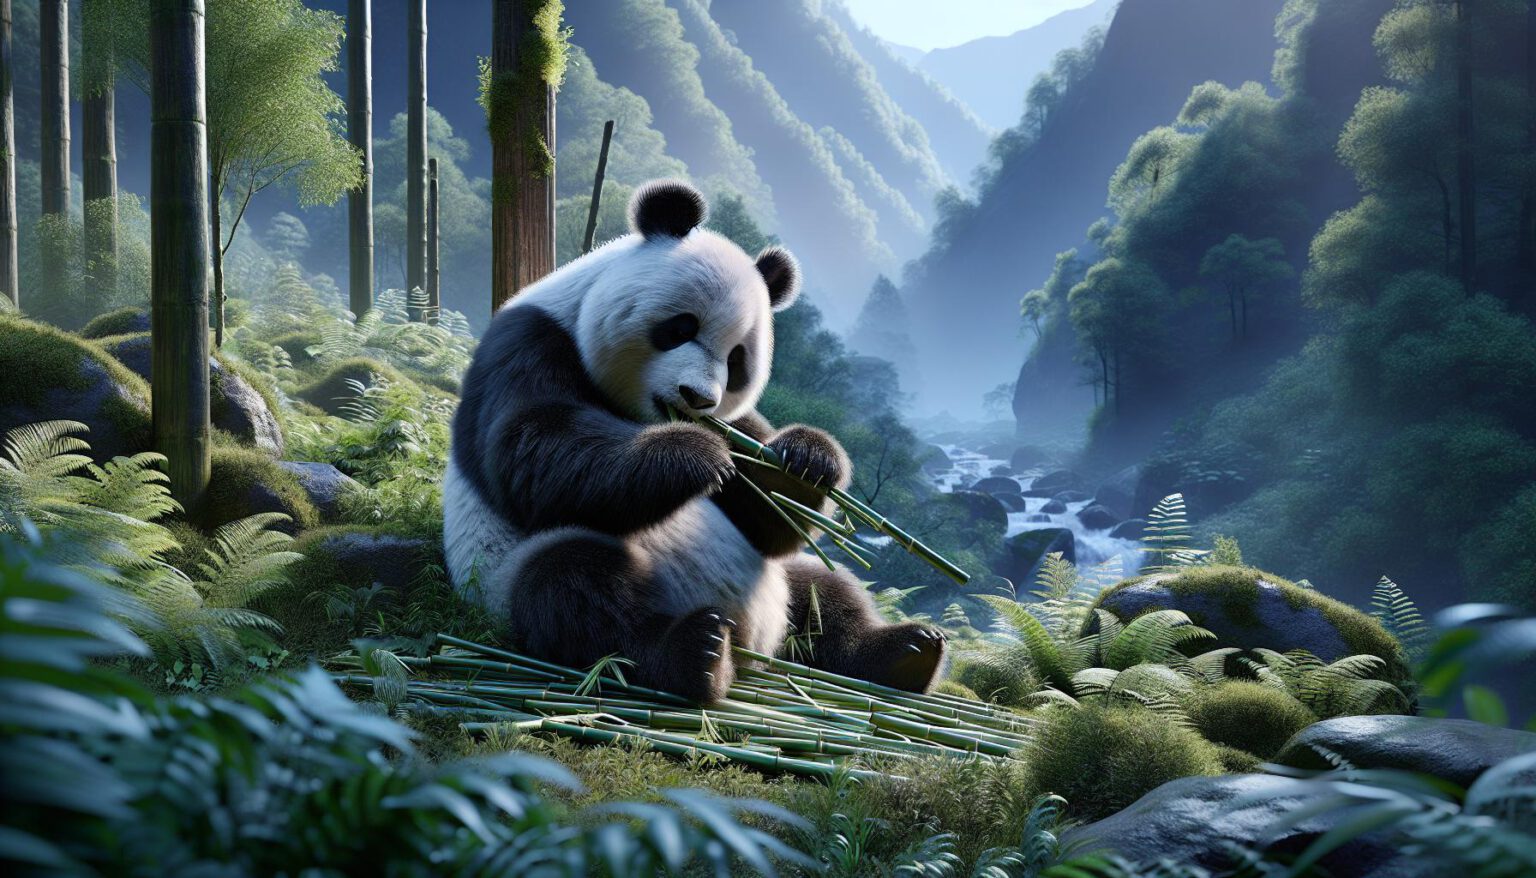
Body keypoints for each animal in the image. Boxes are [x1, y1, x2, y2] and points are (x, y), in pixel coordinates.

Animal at [443, 180, 946, 702]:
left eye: (737, 360)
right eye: (681, 327)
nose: (697, 399)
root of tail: (755, 649)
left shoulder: (737, 421)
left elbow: (768, 518)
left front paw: (806, 462)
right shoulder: (529, 340)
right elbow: (530, 449)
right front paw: (694, 455)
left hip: (783, 589)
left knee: (825, 593)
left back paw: (907, 652)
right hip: (503, 577)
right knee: (580, 593)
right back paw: (697, 653)